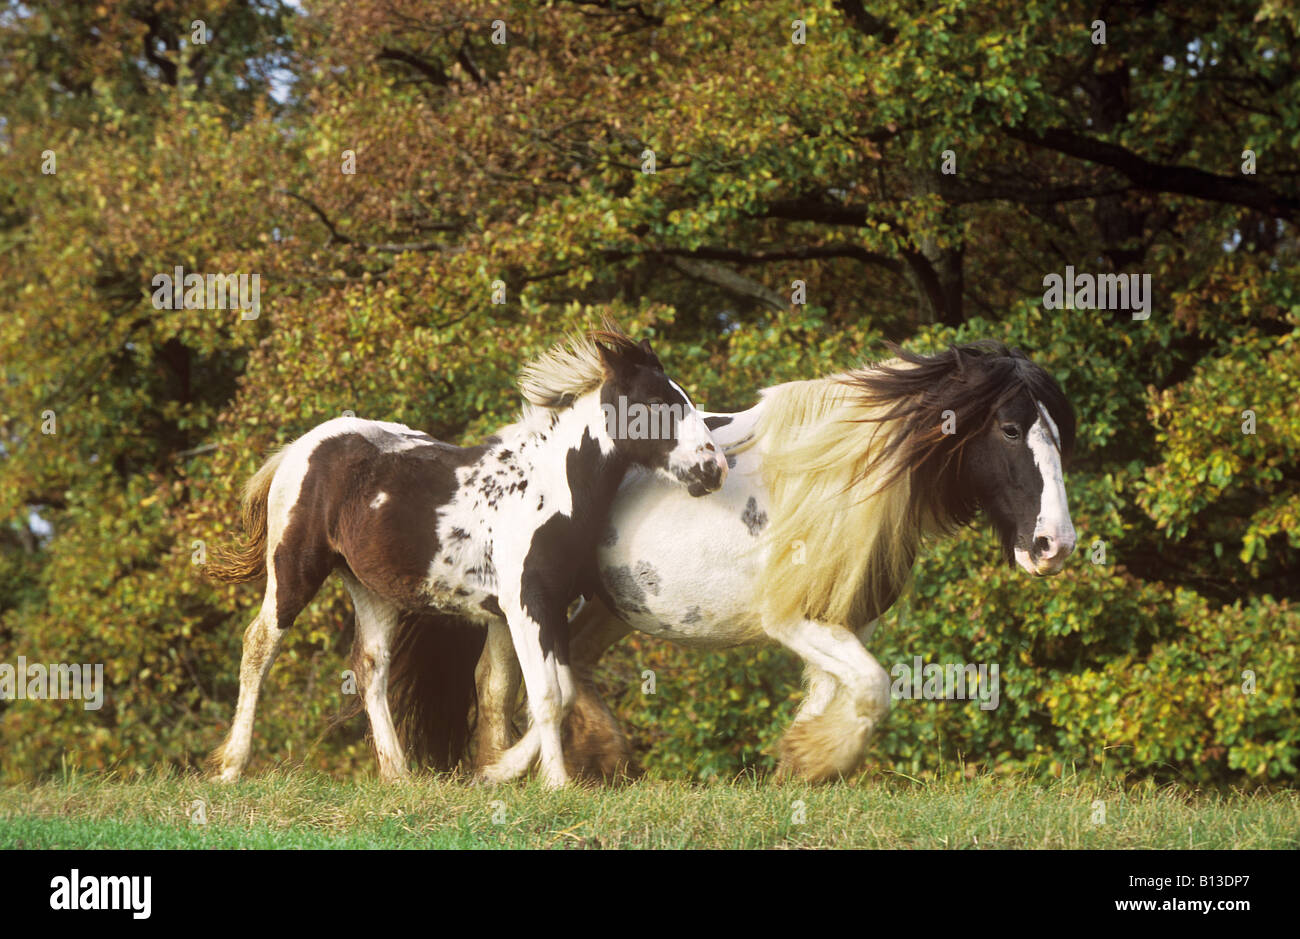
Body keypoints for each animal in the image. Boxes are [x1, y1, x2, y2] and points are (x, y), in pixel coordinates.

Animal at [203, 326, 728, 788]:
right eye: (655, 403)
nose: (713, 468)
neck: (547, 489)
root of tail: (300, 447)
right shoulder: (527, 604)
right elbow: (547, 695)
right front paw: (555, 784)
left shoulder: (547, 606)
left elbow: (551, 691)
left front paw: (496, 771)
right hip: (295, 568)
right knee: (259, 645)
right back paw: (231, 768)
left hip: (373, 590)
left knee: (371, 667)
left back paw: (399, 776)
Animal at [382, 340, 1077, 784]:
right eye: (1010, 430)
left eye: (1059, 433)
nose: (1055, 545)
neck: (845, 476)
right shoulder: (794, 621)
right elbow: (875, 690)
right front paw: (810, 760)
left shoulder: (845, 622)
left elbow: (841, 696)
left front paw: (804, 761)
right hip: (527, 602)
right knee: (508, 682)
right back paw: (506, 767)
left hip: (602, 607)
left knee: (562, 667)